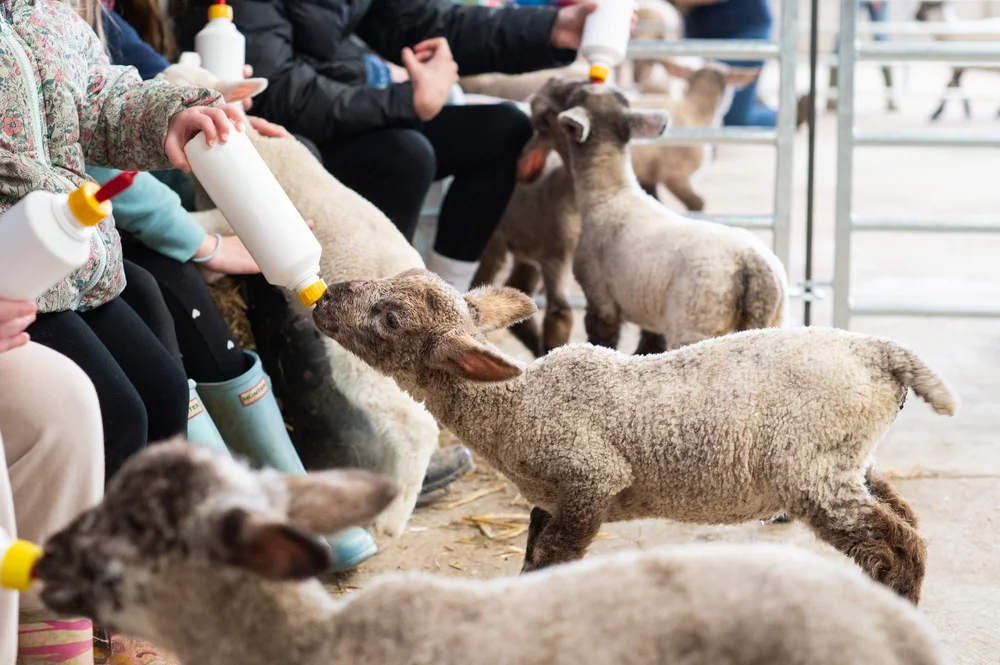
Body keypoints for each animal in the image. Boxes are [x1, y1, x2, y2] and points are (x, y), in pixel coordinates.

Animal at [312, 267, 958, 603]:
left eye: (390, 319)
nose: (328, 296)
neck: (514, 405)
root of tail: (881, 353)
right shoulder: (551, 499)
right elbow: (535, 556)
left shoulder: (590, 478)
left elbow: (553, 560)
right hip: (849, 457)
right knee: (905, 516)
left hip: (812, 470)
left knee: (900, 543)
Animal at [531, 78, 788, 353]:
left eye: (570, 94)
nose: (550, 81)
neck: (609, 193)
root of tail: (753, 265)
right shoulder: (651, 317)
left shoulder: (600, 299)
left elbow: (603, 341)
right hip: (772, 318)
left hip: (695, 319)